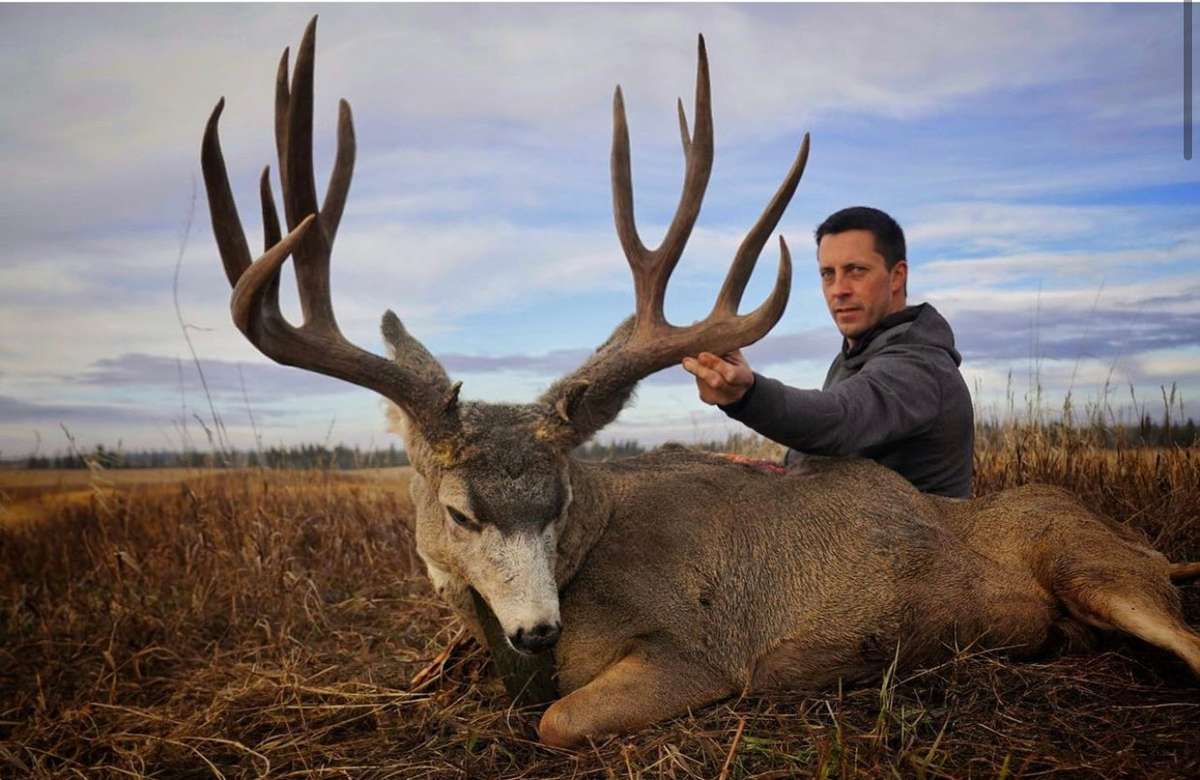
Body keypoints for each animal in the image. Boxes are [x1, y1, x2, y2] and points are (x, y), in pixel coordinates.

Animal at [201, 18, 1200, 749]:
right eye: (457, 511)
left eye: (561, 498)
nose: (538, 629)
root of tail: (1145, 548)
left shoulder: (700, 653)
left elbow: (559, 722)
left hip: (1093, 563)